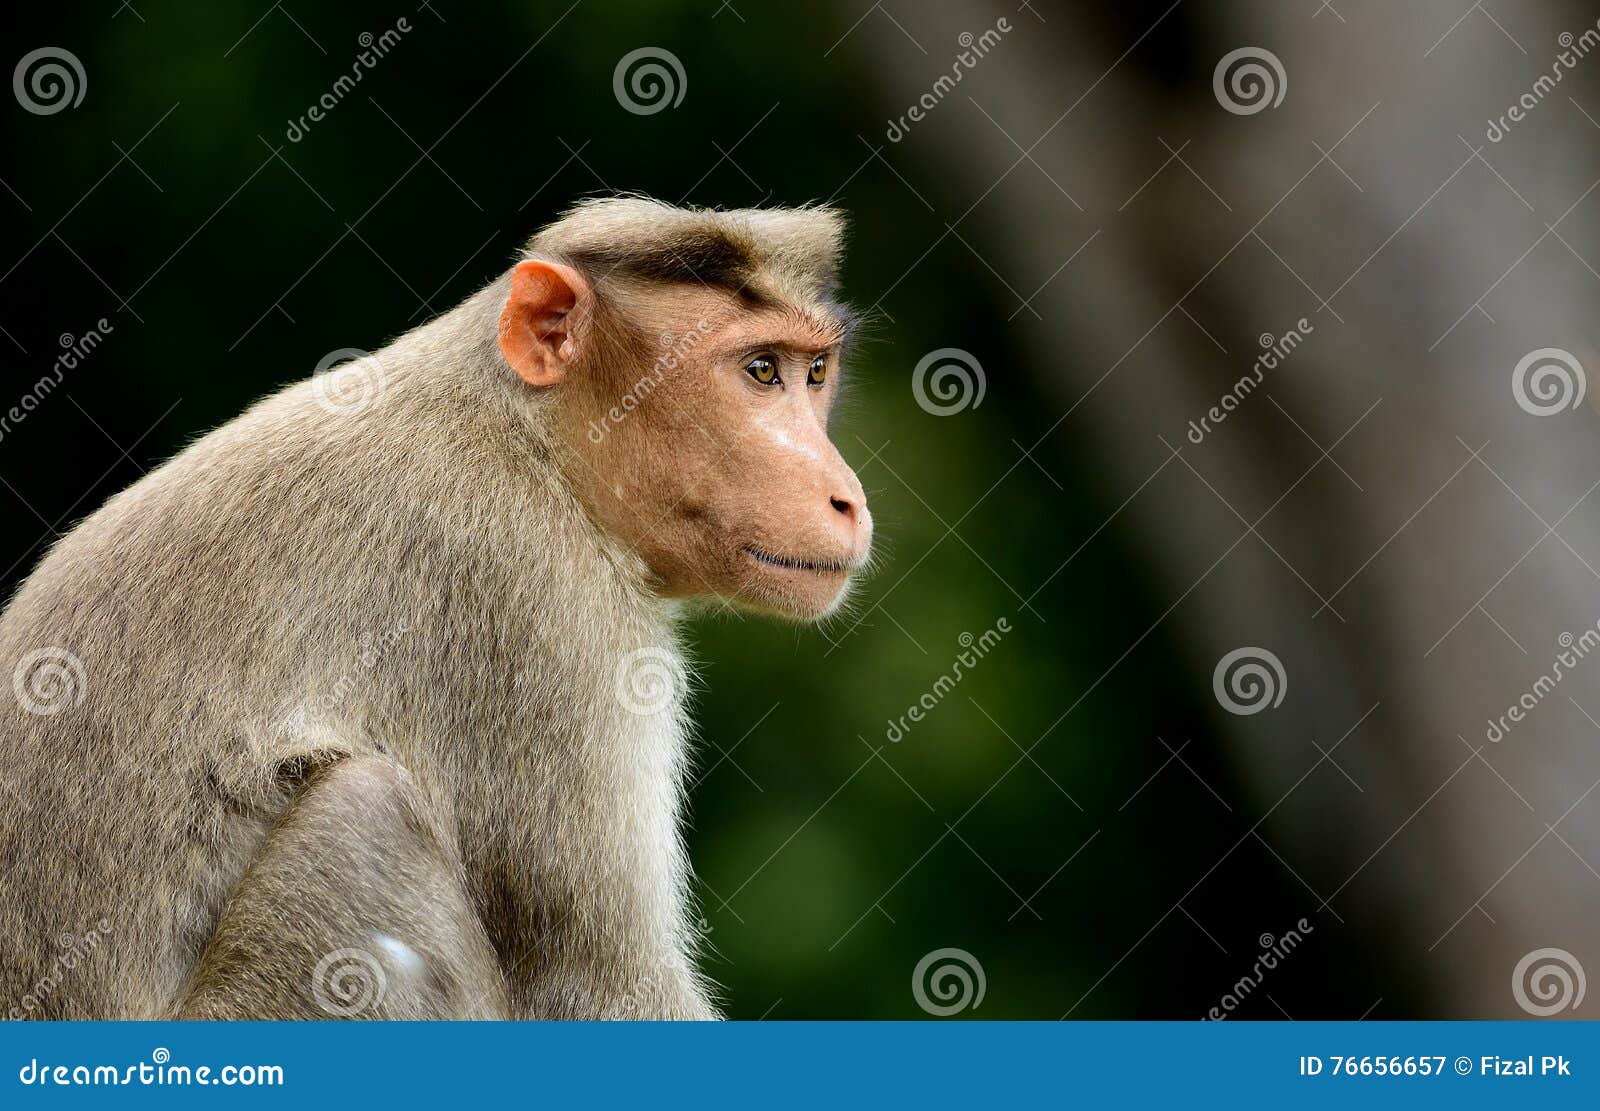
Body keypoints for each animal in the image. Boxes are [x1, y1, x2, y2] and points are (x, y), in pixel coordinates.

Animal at [0, 196, 872, 1020]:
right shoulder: (535, 596)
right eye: (760, 370)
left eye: (813, 374)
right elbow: (597, 982)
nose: (848, 497)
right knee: (367, 812)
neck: (531, 438)